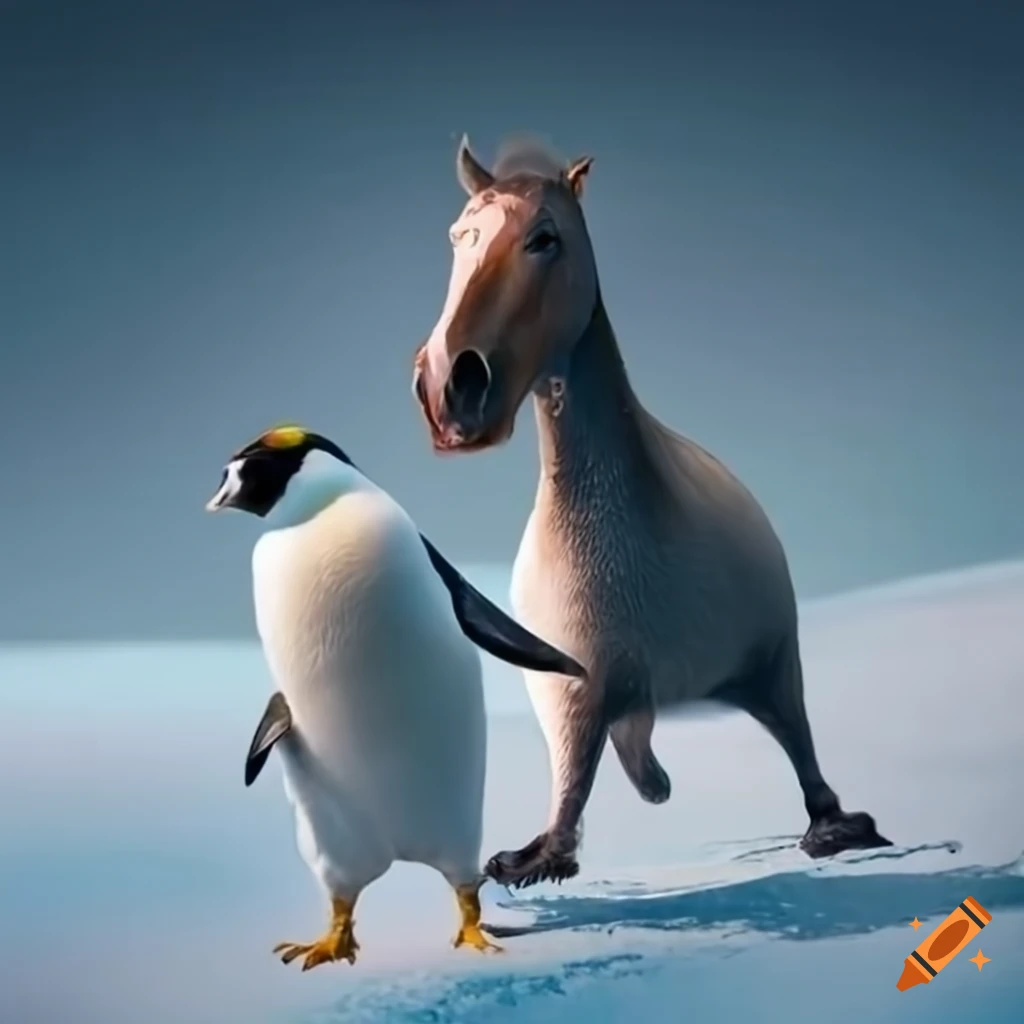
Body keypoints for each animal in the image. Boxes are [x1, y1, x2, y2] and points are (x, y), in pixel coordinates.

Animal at [411, 135, 892, 889]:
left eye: (544, 238)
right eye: (459, 237)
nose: (448, 386)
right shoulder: (570, 684)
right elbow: (571, 773)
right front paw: (535, 855)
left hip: (769, 664)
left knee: (795, 736)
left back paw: (830, 825)